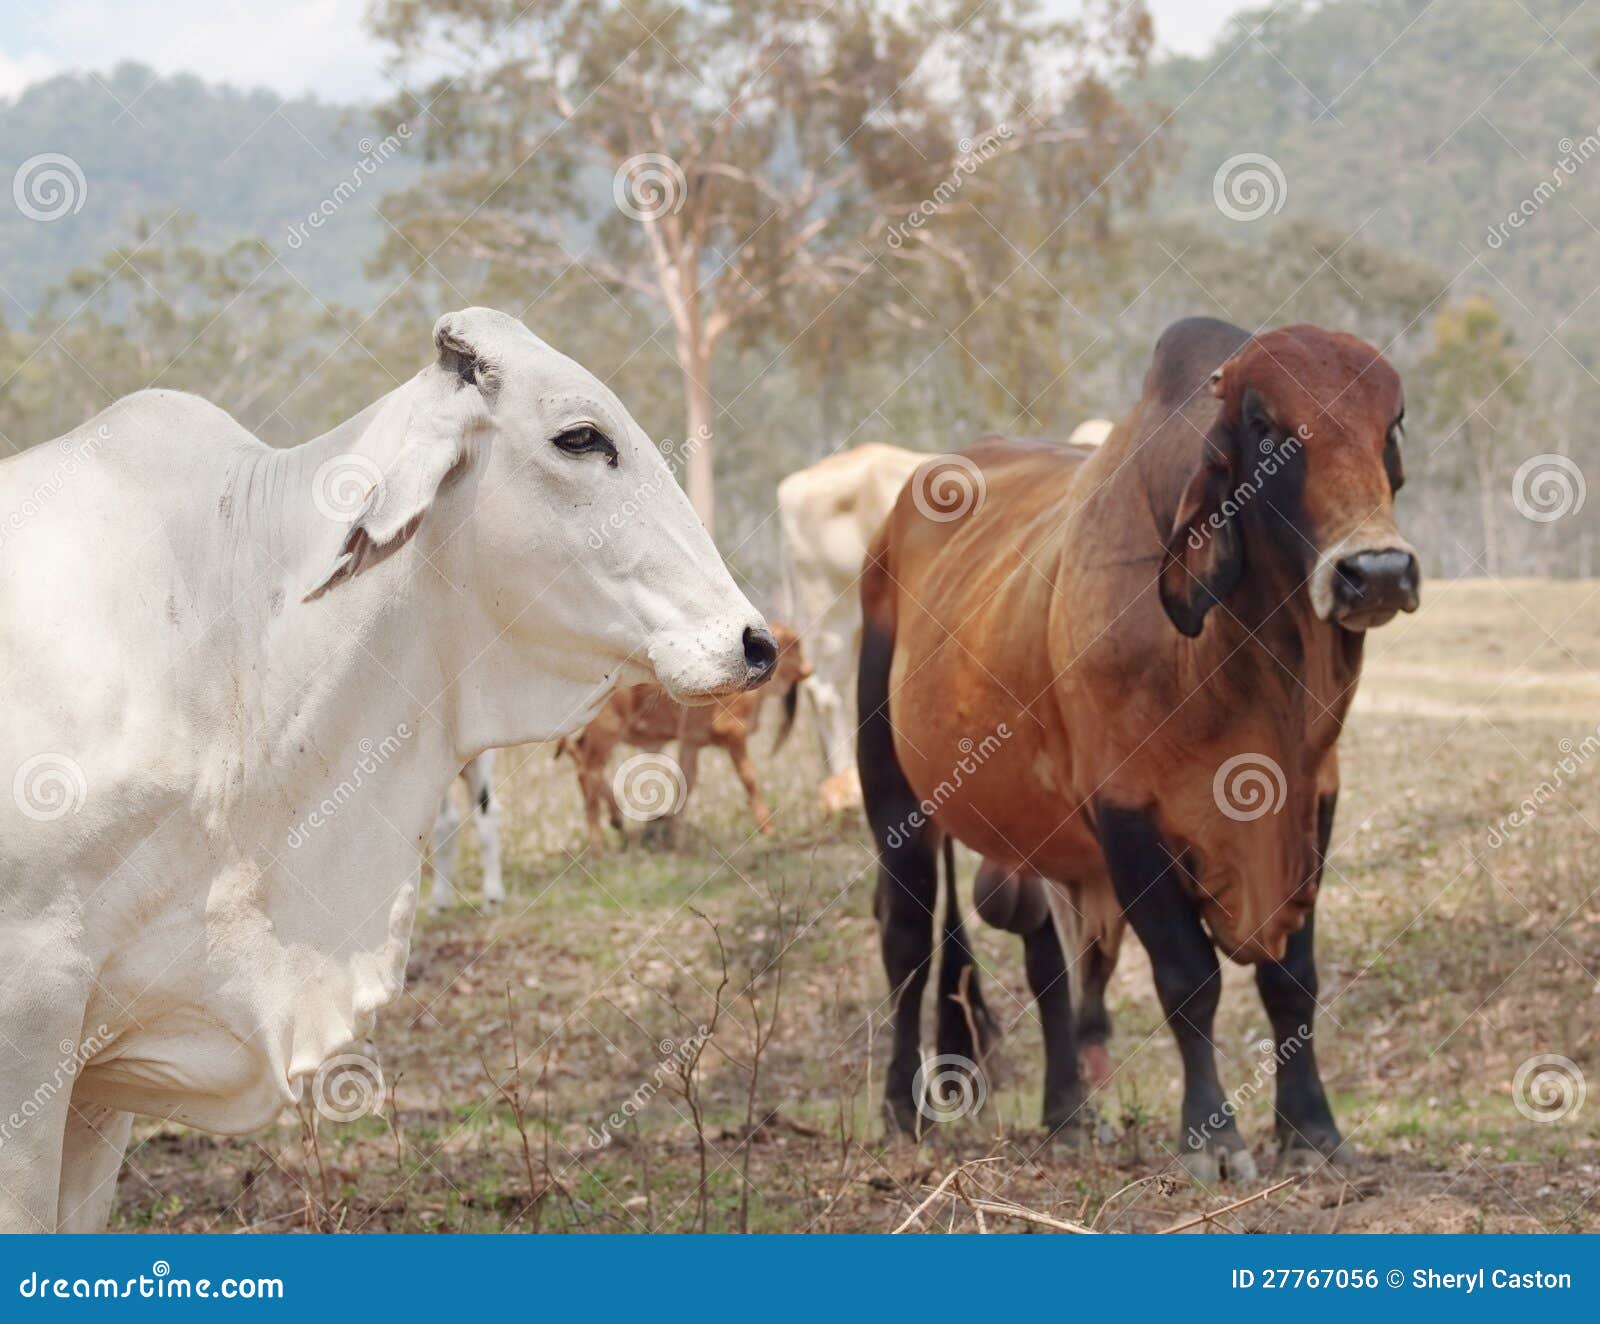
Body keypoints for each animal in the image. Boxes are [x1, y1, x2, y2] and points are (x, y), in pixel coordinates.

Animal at [559, 623, 812, 847]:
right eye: (795, 645)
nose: (807, 670)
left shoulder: (691, 742)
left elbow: (686, 782)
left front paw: (675, 837)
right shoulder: (734, 737)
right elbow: (748, 778)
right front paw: (768, 829)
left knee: (585, 765)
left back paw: (616, 821)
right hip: (606, 733)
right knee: (588, 772)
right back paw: (599, 844)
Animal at [859, 319, 1418, 1182]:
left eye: (1391, 422)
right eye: (1265, 427)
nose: (1377, 571)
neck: (1239, 661)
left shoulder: (1312, 804)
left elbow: (1292, 980)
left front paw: (1312, 1131)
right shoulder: (1128, 815)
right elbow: (1189, 980)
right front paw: (1212, 1139)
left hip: (1039, 838)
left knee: (1046, 965)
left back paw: (1066, 1116)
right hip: (896, 799)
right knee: (909, 941)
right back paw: (898, 1111)